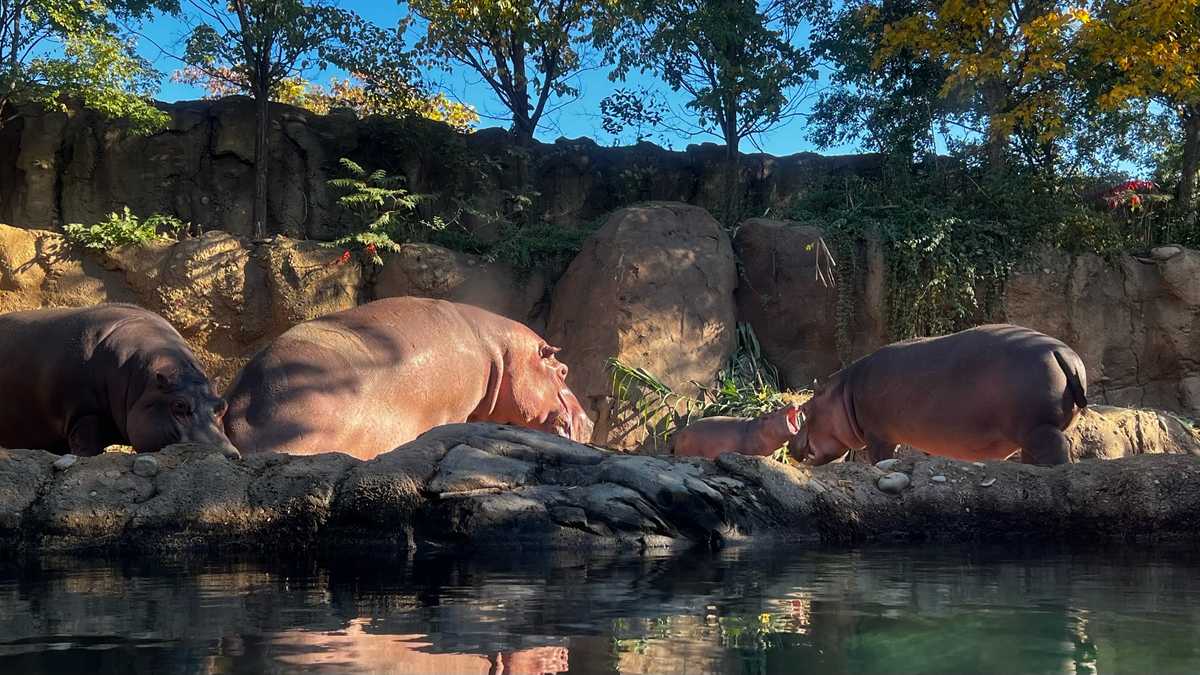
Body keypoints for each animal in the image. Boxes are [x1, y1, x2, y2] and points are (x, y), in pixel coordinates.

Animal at [791, 324, 1088, 466]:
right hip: (1032, 433)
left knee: (1058, 448)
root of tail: (1066, 355)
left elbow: (879, 459)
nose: (791, 444)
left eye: (806, 409)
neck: (843, 391)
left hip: (1038, 427)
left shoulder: (878, 435)